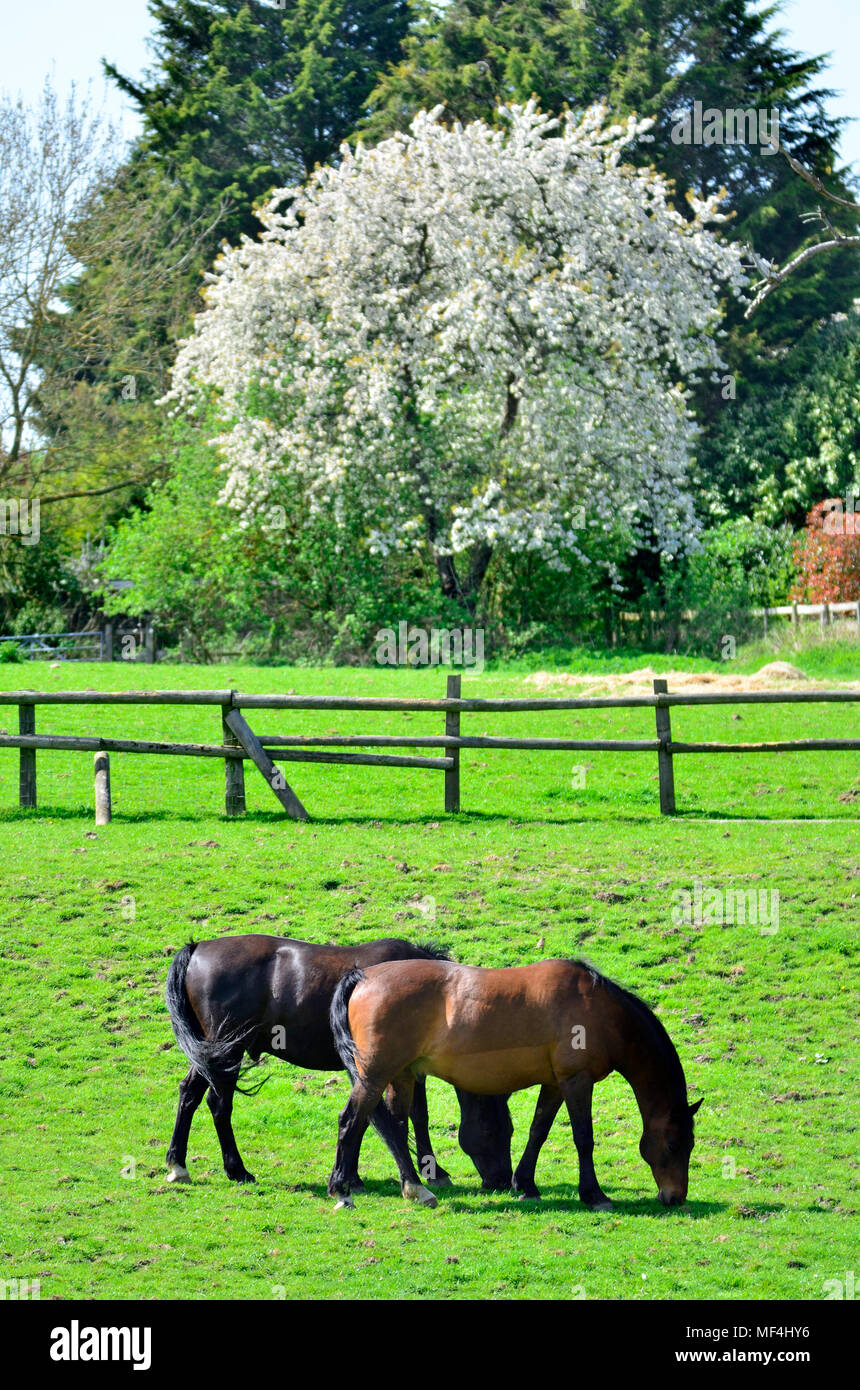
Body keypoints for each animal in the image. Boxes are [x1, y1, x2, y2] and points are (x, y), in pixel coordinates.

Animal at [164, 935, 513, 1191]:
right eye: (495, 1129)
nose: (501, 1182)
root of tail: (197, 948)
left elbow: (408, 1116)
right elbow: (394, 1117)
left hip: (210, 1052)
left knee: (189, 1093)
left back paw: (178, 1163)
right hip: (227, 1050)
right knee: (219, 1104)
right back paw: (237, 1169)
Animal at [327, 956, 702, 1210]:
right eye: (673, 1145)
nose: (675, 1197)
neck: (599, 1010)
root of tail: (363, 976)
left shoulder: (556, 1084)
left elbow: (538, 1131)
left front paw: (526, 1184)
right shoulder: (577, 1082)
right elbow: (583, 1138)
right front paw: (594, 1194)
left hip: (401, 1075)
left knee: (394, 1129)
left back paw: (414, 1187)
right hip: (374, 1077)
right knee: (352, 1121)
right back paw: (342, 1190)